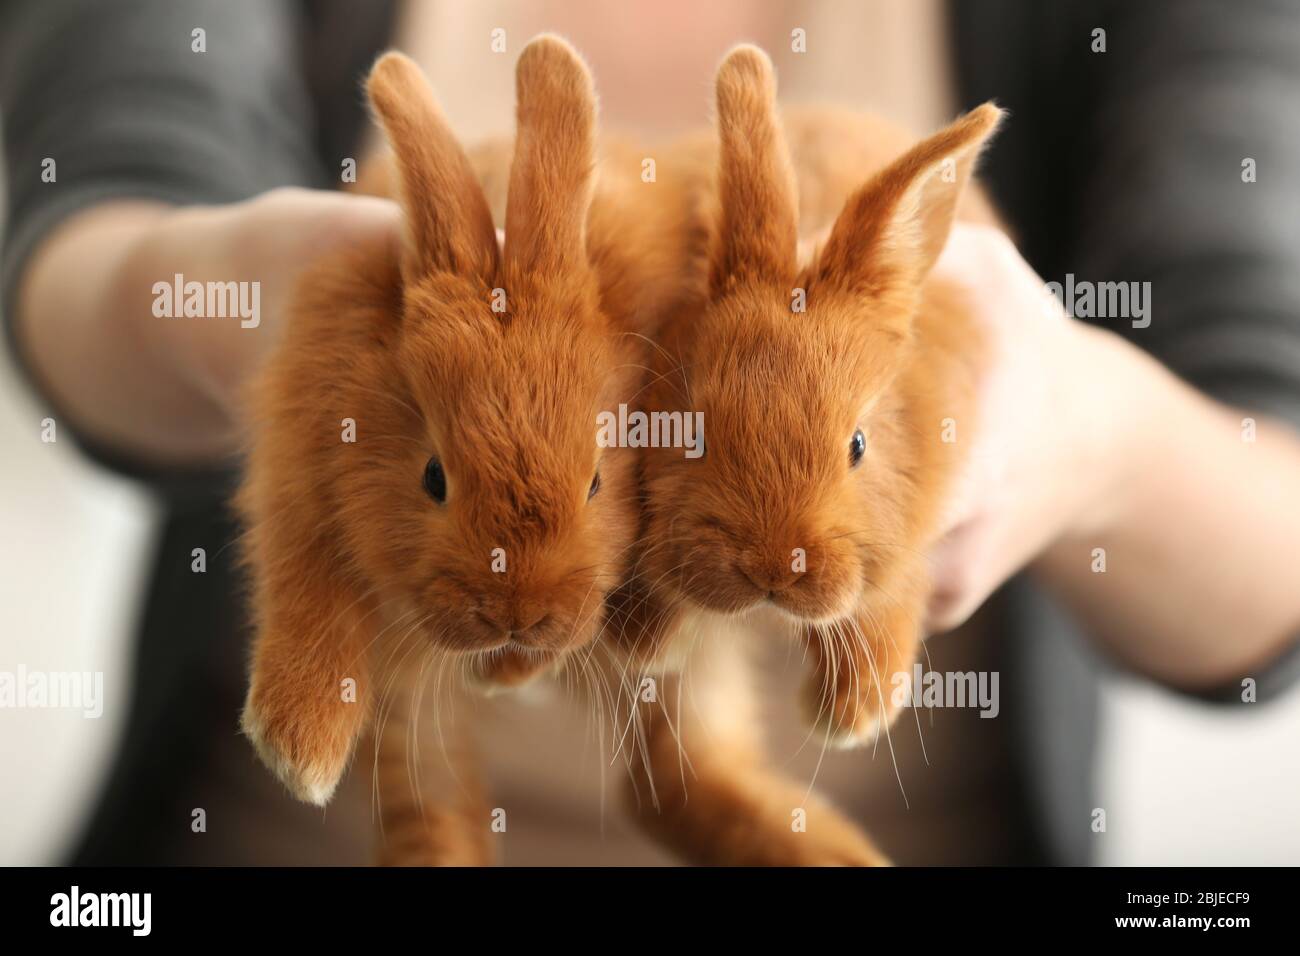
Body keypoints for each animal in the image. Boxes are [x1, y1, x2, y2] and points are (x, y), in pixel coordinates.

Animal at [237, 36, 700, 865]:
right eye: (433, 478)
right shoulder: (298, 458)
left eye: (596, 483)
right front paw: (299, 748)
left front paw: (516, 671)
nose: (517, 617)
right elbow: (304, 580)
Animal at [606, 45, 1004, 865]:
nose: (772, 568)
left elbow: (888, 600)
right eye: (691, 430)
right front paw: (641, 640)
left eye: (858, 445)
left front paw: (849, 717)